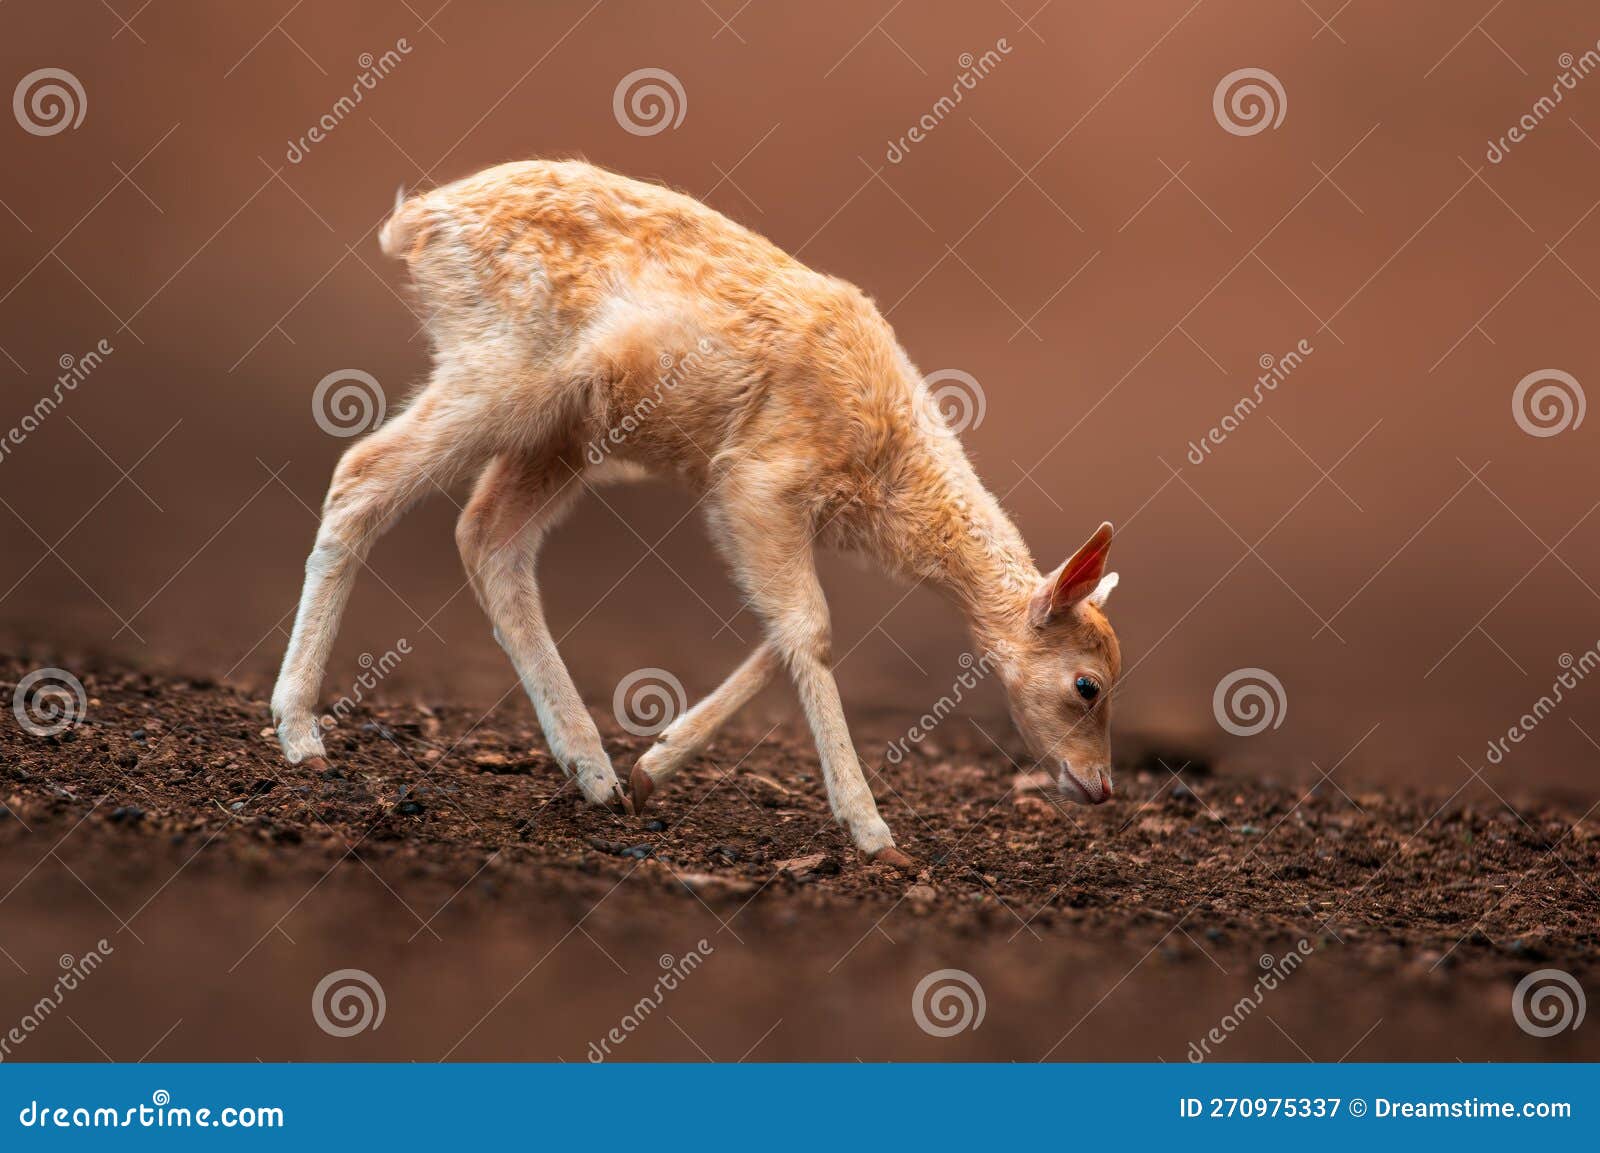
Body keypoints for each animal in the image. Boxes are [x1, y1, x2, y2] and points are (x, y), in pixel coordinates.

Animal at [270, 159, 1123, 869]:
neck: (886, 479)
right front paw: (872, 830)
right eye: (1089, 684)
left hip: (562, 432)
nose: (1100, 786)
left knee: (487, 535)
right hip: (500, 375)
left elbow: (782, 635)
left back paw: (594, 769)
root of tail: (418, 222)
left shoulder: (745, 504)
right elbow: (811, 629)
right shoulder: (759, 480)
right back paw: (300, 730)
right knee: (361, 475)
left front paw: (651, 768)